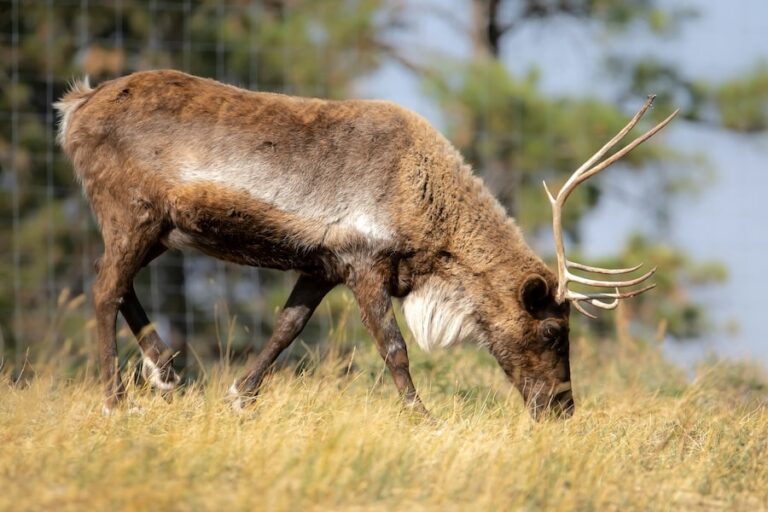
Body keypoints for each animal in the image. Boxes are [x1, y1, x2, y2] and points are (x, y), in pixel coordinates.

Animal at [54, 70, 677, 419]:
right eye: (551, 330)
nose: (563, 409)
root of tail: (74, 106)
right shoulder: (365, 262)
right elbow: (394, 349)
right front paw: (422, 417)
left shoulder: (321, 265)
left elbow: (286, 328)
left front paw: (239, 396)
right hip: (132, 210)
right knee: (104, 288)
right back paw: (115, 400)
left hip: (159, 227)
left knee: (112, 280)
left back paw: (166, 370)